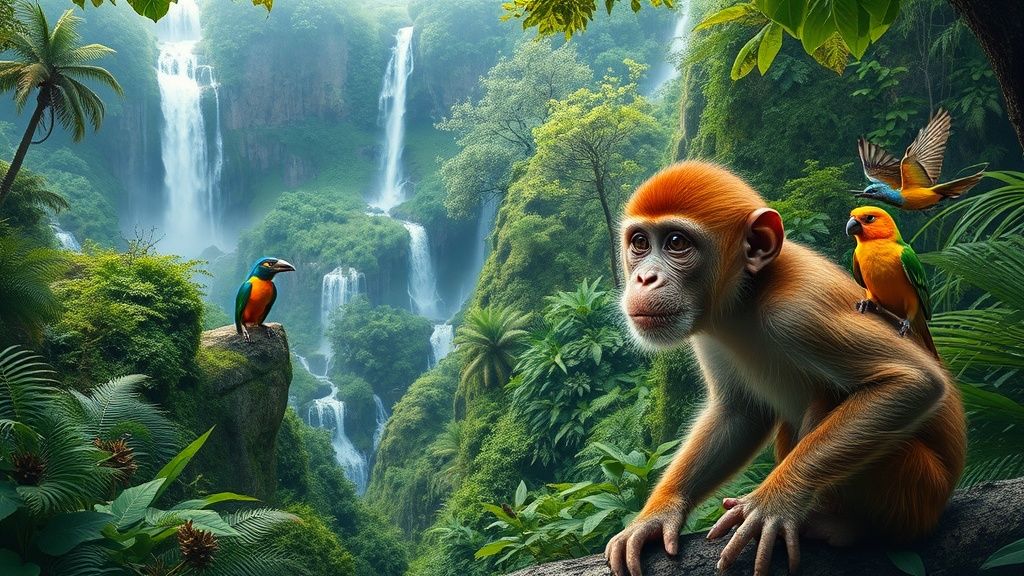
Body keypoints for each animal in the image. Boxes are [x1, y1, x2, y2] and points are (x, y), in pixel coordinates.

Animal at [604, 162, 965, 576]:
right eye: (640, 243)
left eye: (677, 242)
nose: (644, 278)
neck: (749, 295)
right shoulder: (708, 326)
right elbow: (740, 412)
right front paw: (657, 514)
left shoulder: (800, 311)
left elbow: (913, 381)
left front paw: (773, 502)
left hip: (918, 488)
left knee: (833, 396)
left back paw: (849, 527)